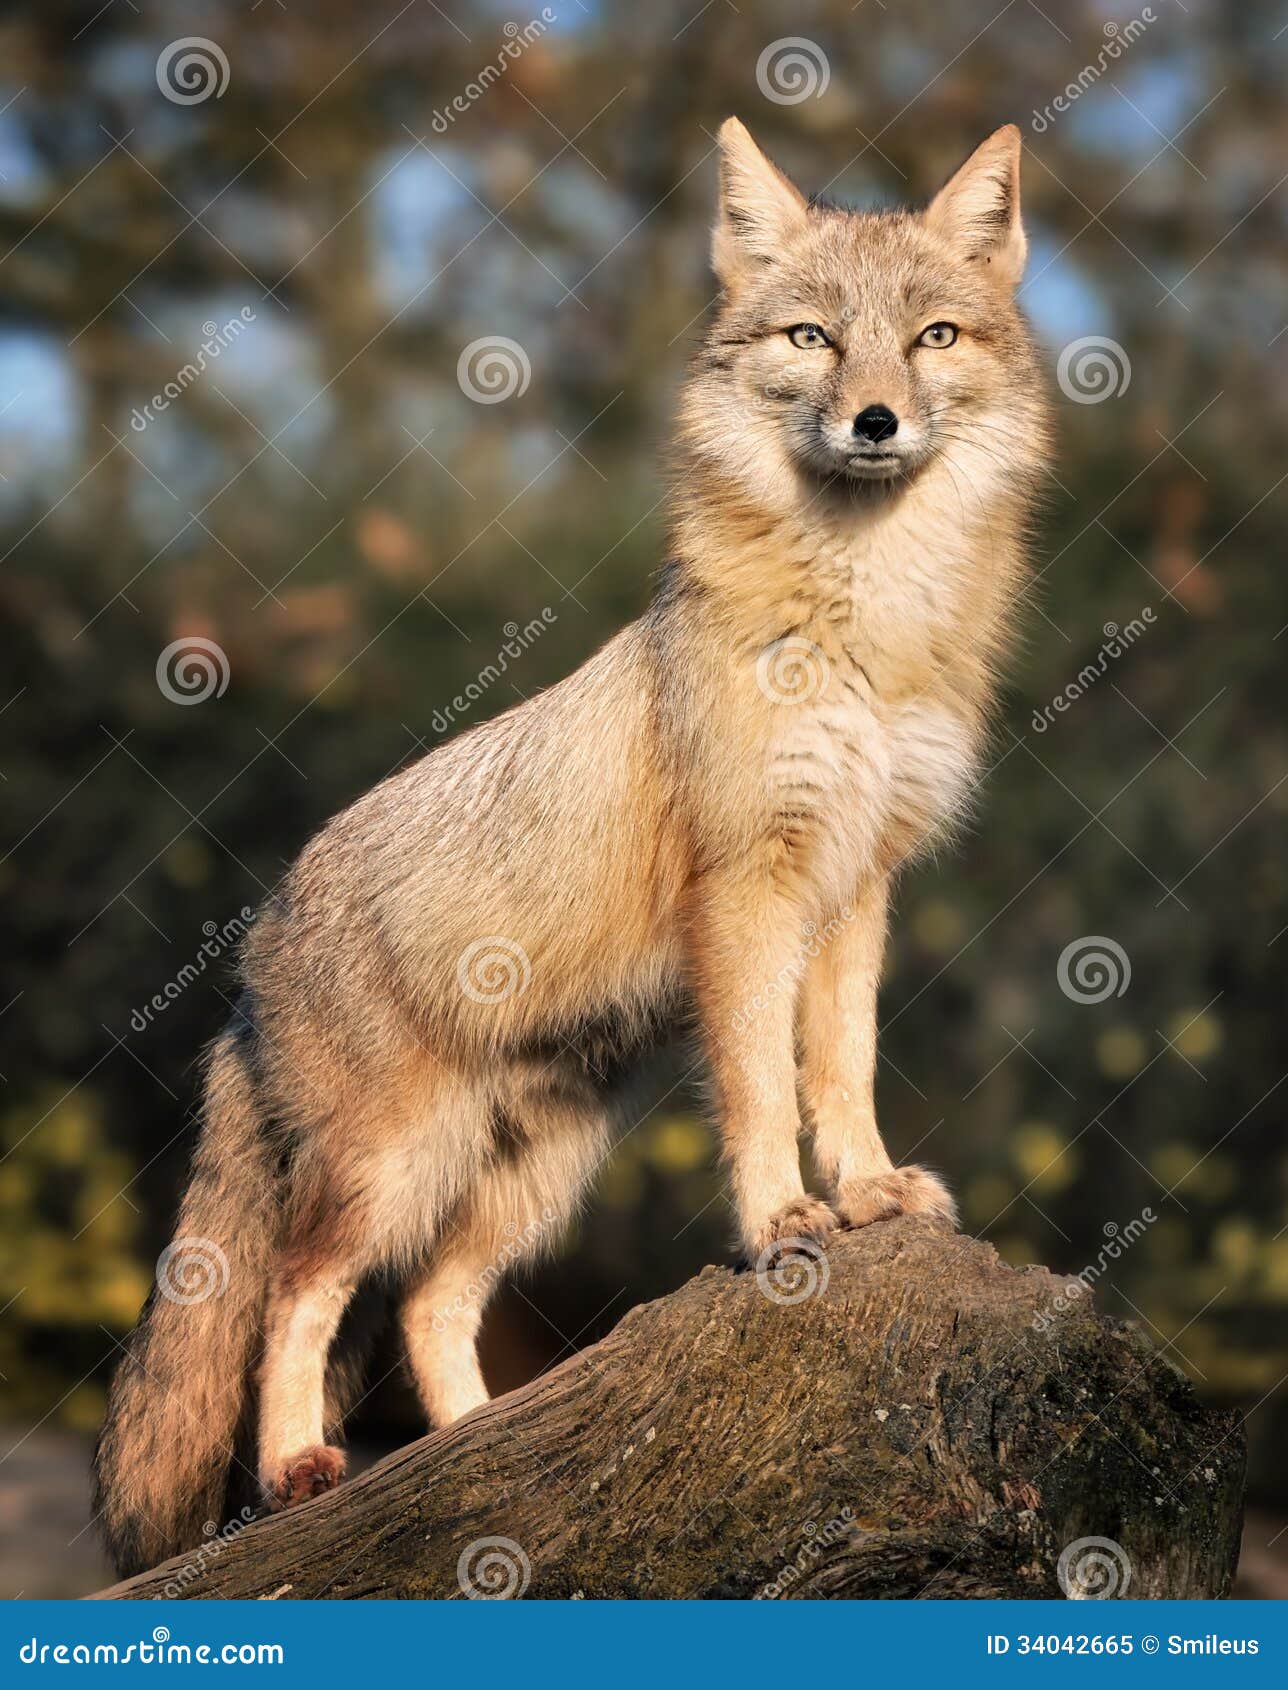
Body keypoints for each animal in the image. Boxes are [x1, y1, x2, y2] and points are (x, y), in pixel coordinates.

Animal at [94, 118, 1051, 1577]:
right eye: (816, 339)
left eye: (931, 337)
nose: (875, 422)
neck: (863, 628)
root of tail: (256, 945)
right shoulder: (749, 889)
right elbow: (762, 1090)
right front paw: (781, 1221)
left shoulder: (856, 888)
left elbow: (839, 1071)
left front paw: (870, 1188)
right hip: (392, 1174)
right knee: (294, 1302)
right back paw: (299, 1468)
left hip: (531, 1180)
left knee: (430, 1312)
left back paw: (478, 1457)